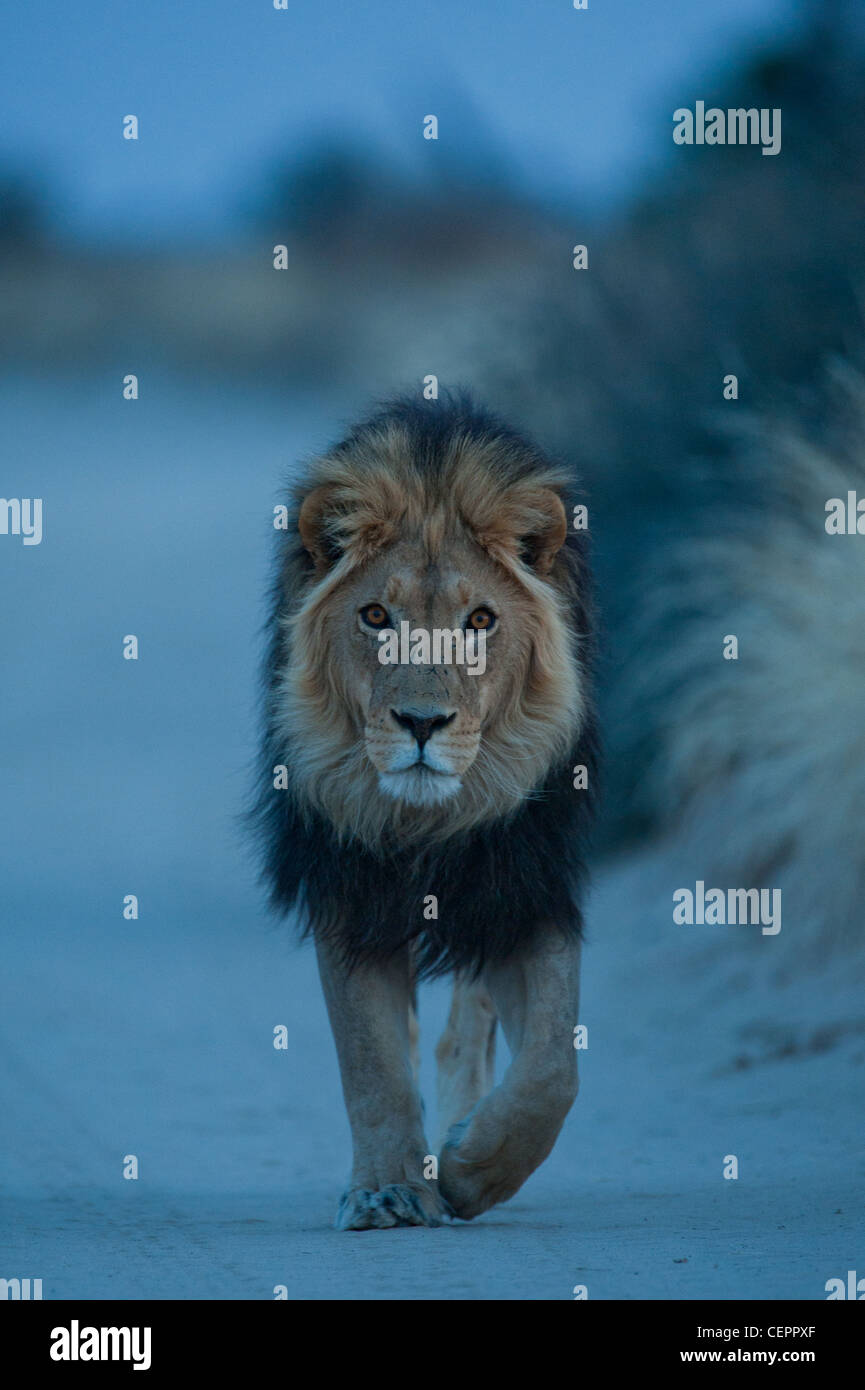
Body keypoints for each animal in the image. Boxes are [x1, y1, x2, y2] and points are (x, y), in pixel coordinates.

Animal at [252, 392, 598, 1229]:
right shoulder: (348, 886)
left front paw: (474, 1168)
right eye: (376, 617)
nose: (419, 723)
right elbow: (371, 1056)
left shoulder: (527, 884)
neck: (424, 821)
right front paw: (386, 1189)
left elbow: (552, 1065)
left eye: (480, 622)